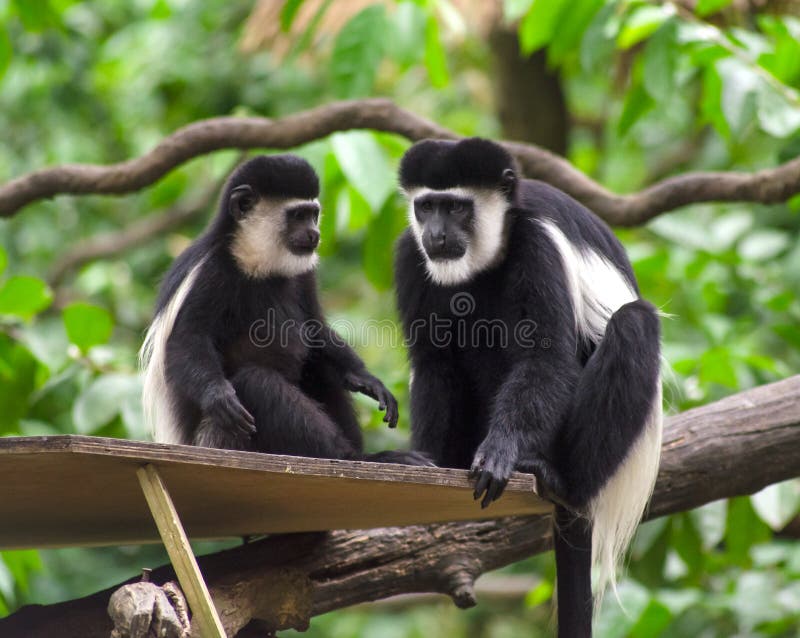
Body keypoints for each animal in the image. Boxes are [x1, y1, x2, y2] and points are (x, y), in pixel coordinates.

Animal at [141, 154, 430, 466]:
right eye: (297, 216)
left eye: (313, 214)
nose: (314, 234)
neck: (256, 263)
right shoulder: (209, 273)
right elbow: (188, 339)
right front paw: (218, 394)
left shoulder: (304, 274)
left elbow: (314, 327)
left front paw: (365, 378)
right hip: (221, 437)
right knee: (256, 383)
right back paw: (359, 457)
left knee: (316, 364)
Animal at [394, 138, 662, 636]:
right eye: (426, 207)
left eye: (456, 208)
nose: (436, 236)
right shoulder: (410, 254)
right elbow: (434, 362)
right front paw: (425, 468)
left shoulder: (539, 246)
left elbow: (544, 356)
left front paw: (501, 451)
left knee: (632, 325)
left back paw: (558, 479)